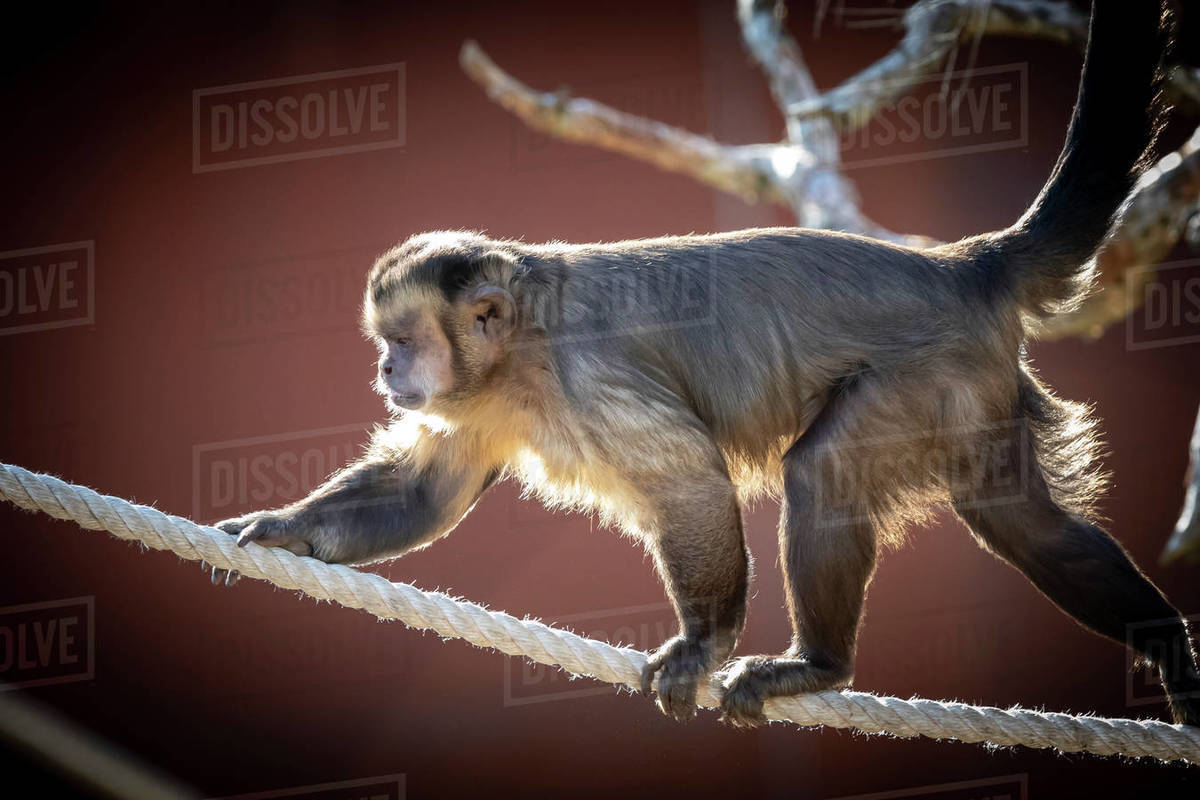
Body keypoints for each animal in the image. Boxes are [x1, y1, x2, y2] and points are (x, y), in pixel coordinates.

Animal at [214, 0, 1200, 728]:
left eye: (401, 341)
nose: (386, 374)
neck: (520, 347)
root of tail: (962, 266)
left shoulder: (586, 374)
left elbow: (689, 481)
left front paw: (705, 643)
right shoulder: (477, 400)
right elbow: (426, 495)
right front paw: (283, 531)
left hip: (930, 374)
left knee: (825, 468)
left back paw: (819, 665)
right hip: (977, 391)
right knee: (1023, 522)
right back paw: (1166, 646)